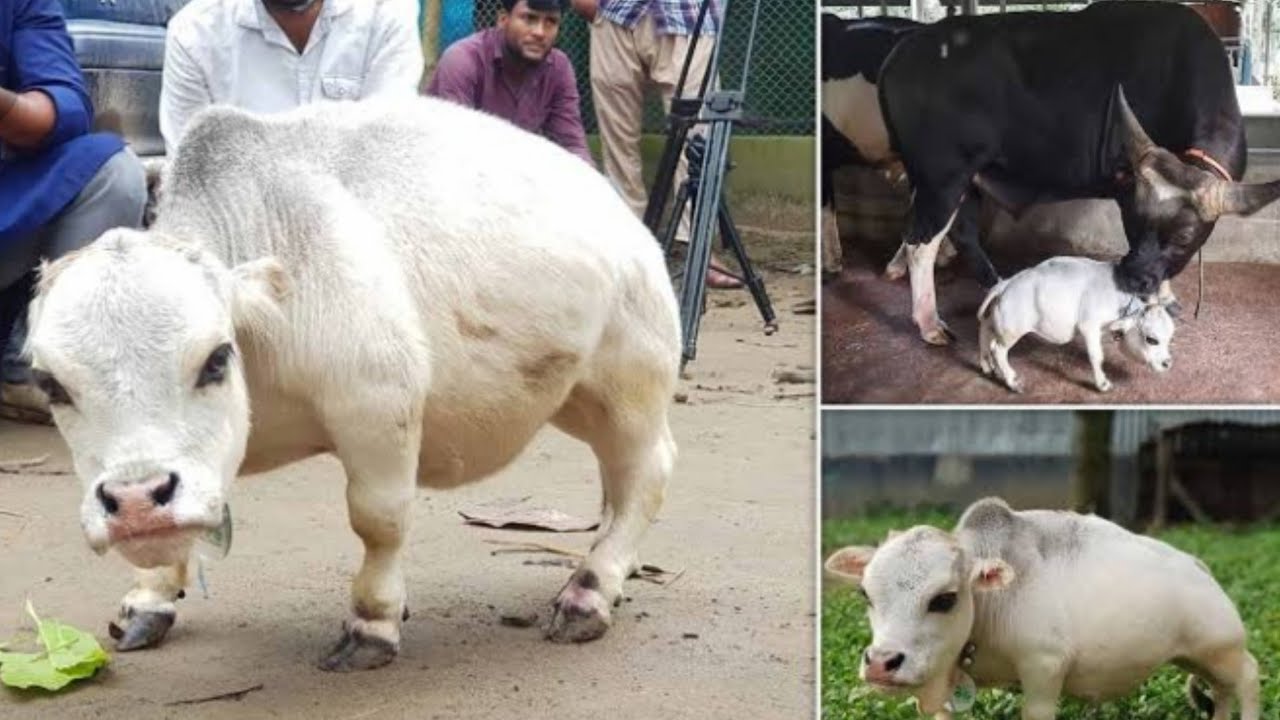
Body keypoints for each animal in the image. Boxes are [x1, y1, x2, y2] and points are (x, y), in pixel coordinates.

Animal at [21, 95, 682, 672]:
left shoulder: (377, 407)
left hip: (628, 387)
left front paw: (374, 622)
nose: (136, 502)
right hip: (575, 398)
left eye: (214, 359)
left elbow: (378, 521)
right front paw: (151, 596)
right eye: (51, 384)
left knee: (646, 474)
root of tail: (623, 217)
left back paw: (592, 588)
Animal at [825, 497, 1260, 720]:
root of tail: (1199, 567)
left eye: (944, 599)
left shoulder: (1044, 668)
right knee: (1222, 691)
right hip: (1199, 659)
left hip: (1220, 649)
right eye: (866, 594)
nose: (881, 663)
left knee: (1248, 677)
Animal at [877, 1, 1280, 345]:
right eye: (1134, 221)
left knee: (958, 232)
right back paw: (929, 322)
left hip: (961, 178)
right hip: (943, 178)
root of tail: (902, 52)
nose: (1131, 278)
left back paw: (993, 283)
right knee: (920, 242)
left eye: (1184, 237)